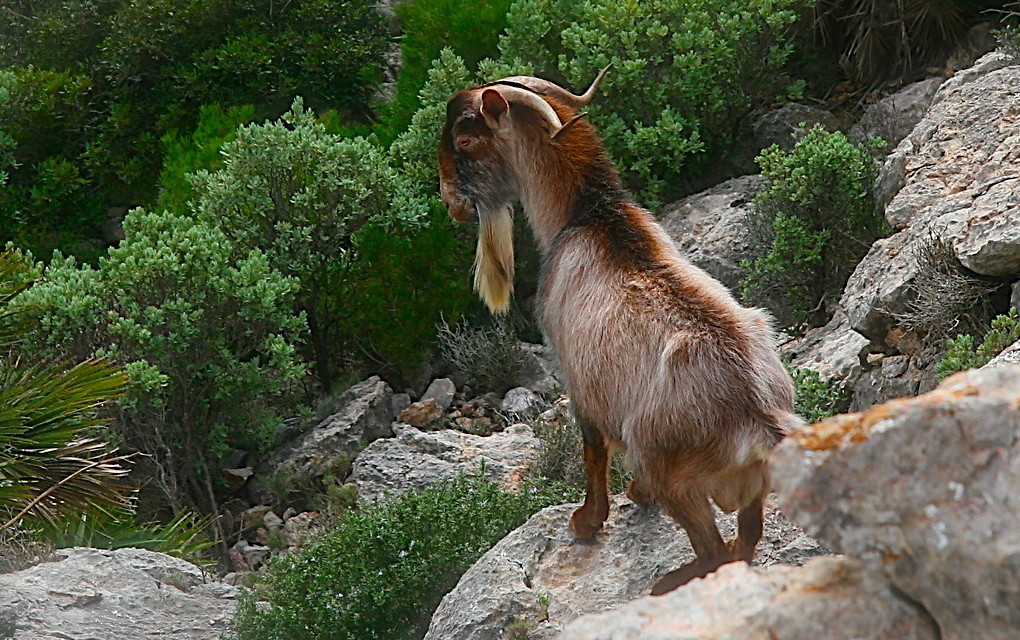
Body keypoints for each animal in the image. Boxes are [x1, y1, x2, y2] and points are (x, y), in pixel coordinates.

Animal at [438, 69, 801, 594]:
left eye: (466, 139)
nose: (452, 205)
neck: (591, 217)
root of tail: (758, 420)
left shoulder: (578, 378)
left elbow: (592, 449)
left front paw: (587, 521)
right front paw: (631, 495)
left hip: (674, 475)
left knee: (710, 549)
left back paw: (666, 582)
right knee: (747, 538)